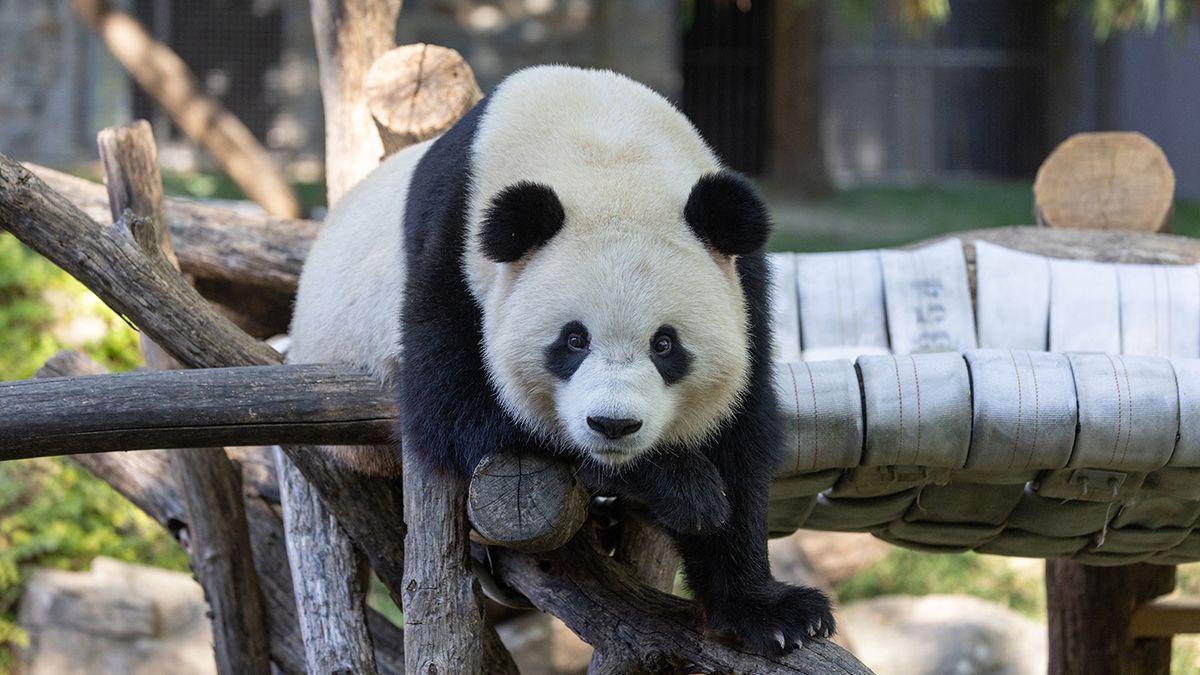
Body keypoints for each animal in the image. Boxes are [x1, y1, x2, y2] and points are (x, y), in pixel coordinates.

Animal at [289, 65, 834, 655]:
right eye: (574, 341)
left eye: (665, 345)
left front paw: (772, 612)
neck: (604, 149)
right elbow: (453, 407)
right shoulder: (452, 249)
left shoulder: (742, 283)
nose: (613, 425)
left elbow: (740, 436)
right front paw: (682, 489)